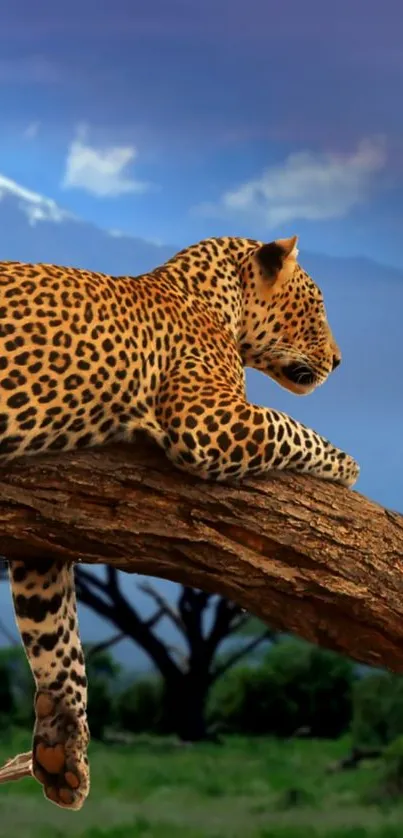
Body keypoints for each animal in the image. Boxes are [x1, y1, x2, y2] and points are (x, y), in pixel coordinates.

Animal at [1, 233, 359, 810]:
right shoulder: (211, 421)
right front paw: (347, 465)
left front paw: (63, 745)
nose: (340, 360)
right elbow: (289, 425)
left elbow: (56, 631)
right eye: (317, 305)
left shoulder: (40, 540)